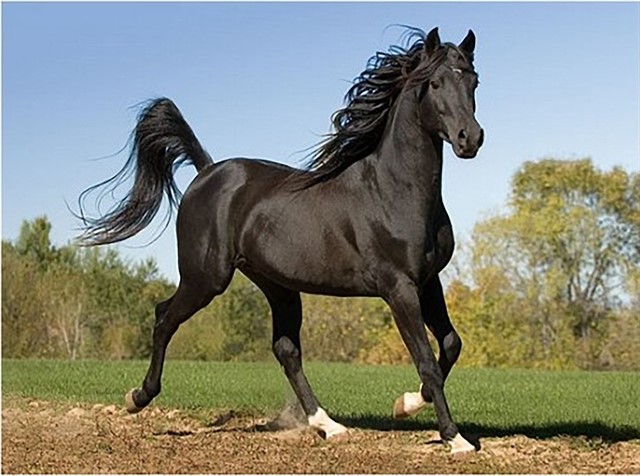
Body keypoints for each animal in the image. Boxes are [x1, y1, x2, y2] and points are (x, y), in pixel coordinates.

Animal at [78, 26, 484, 453]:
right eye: (435, 83)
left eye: (473, 81)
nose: (470, 139)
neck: (392, 191)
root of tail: (206, 172)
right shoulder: (398, 287)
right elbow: (427, 361)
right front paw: (455, 439)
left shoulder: (428, 281)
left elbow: (451, 345)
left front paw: (404, 405)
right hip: (206, 278)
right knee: (163, 318)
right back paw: (137, 398)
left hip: (277, 285)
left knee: (286, 350)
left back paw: (329, 426)